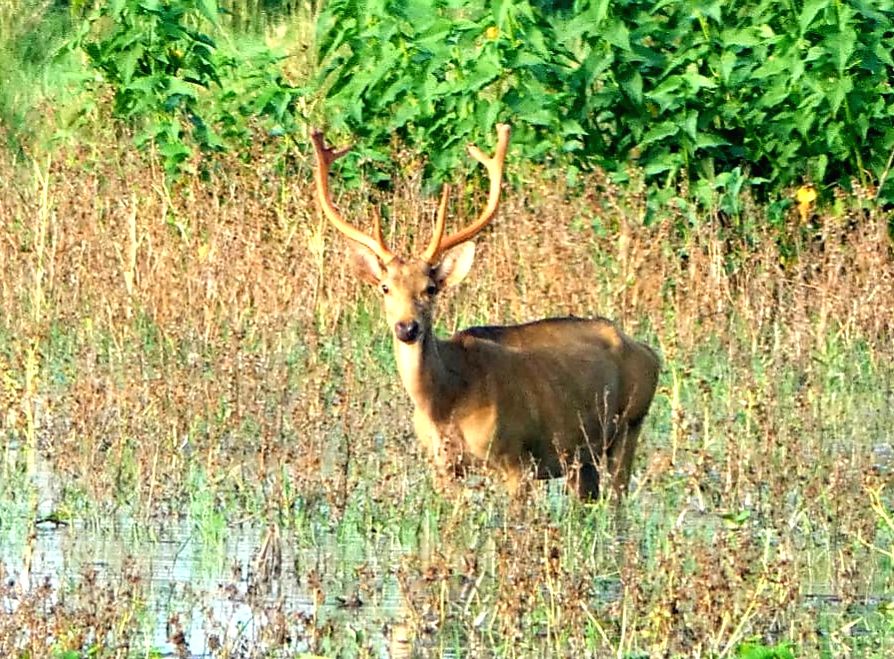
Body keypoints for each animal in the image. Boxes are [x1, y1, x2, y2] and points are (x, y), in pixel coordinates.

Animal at [310, 123, 660, 499]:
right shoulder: (442, 465)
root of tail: (650, 353)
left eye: (430, 288)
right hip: (582, 457)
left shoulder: (516, 456)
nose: (407, 327)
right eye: (385, 288)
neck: (446, 401)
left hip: (629, 425)